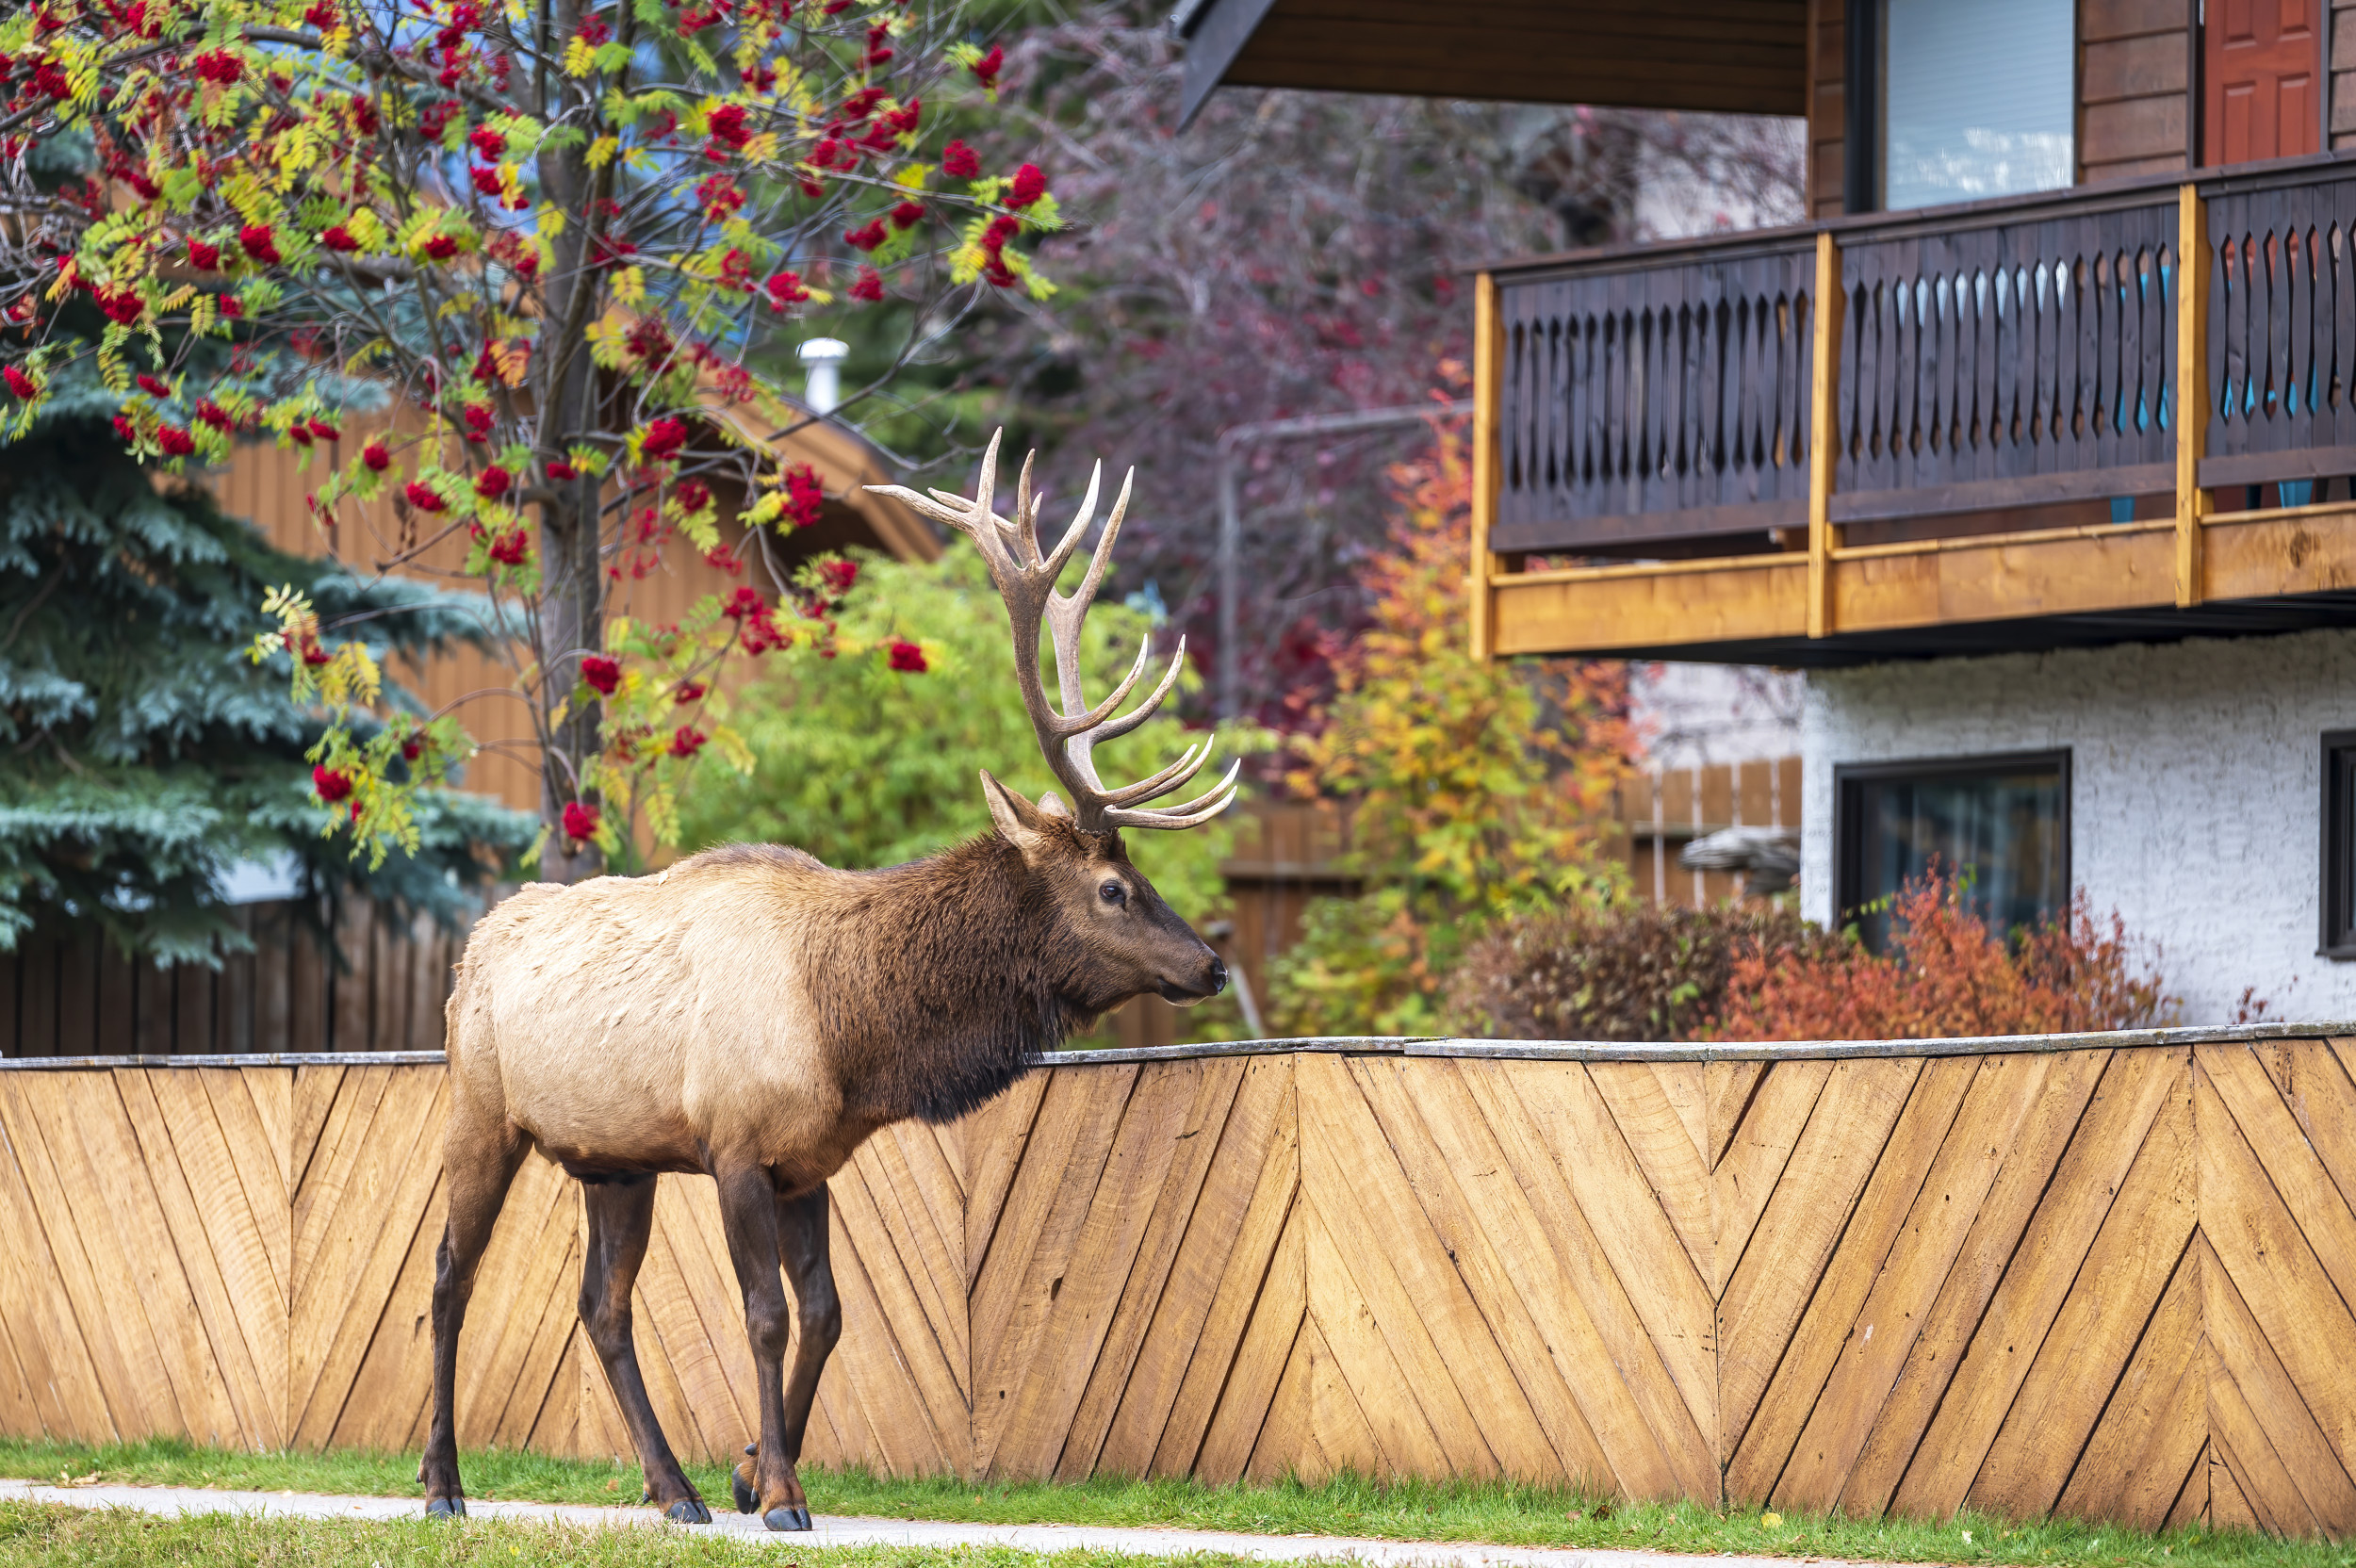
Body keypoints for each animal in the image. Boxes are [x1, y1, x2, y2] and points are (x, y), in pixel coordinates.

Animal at [421, 432, 1238, 1529]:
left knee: (602, 1304)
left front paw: (743, 1470)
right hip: (481, 1110)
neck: (851, 1033)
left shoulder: (807, 1162)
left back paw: (674, 1488)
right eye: (1114, 887)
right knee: (448, 1275)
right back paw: (442, 1482)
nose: (1210, 961)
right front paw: (780, 1493)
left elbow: (827, 1312)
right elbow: (766, 1313)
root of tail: (471, 950)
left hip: (617, 1161)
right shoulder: (734, 1143)